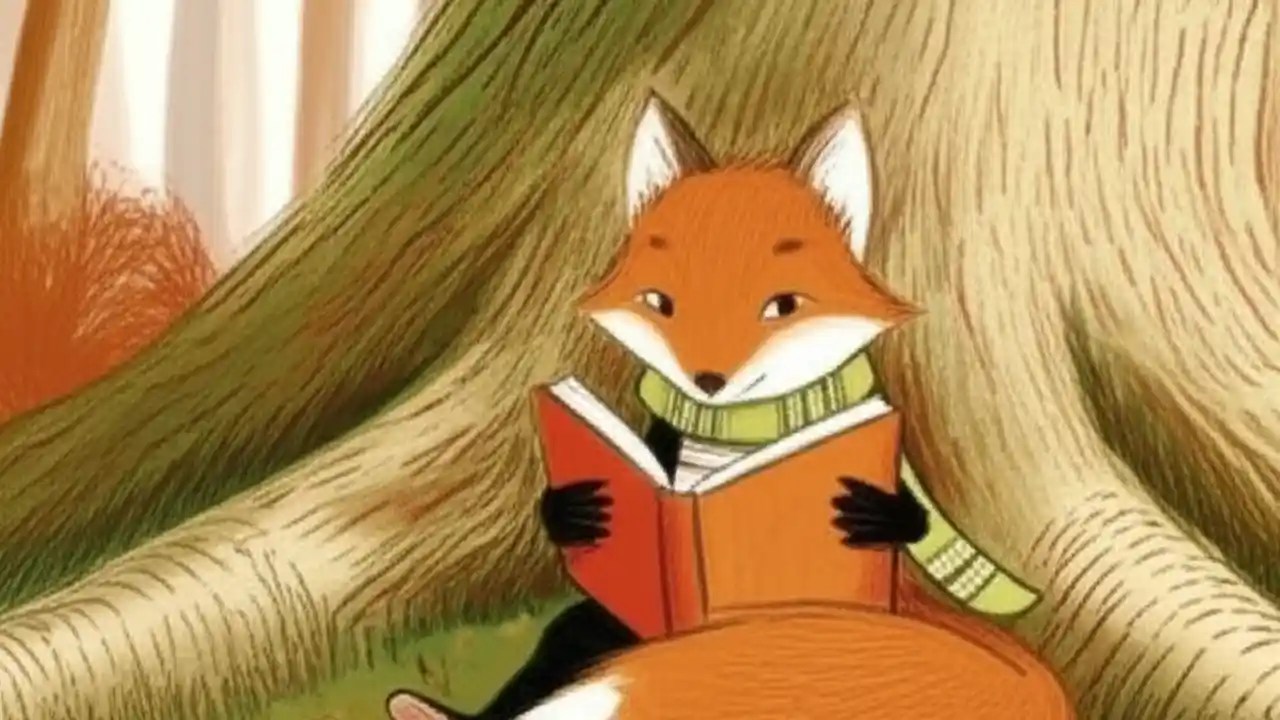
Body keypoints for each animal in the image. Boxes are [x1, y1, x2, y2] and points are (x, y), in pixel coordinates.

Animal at [387, 93, 1074, 720]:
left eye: (782, 307)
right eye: (660, 303)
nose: (709, 379)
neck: (733, 429)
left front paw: (881, 514)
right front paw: (571, 511)